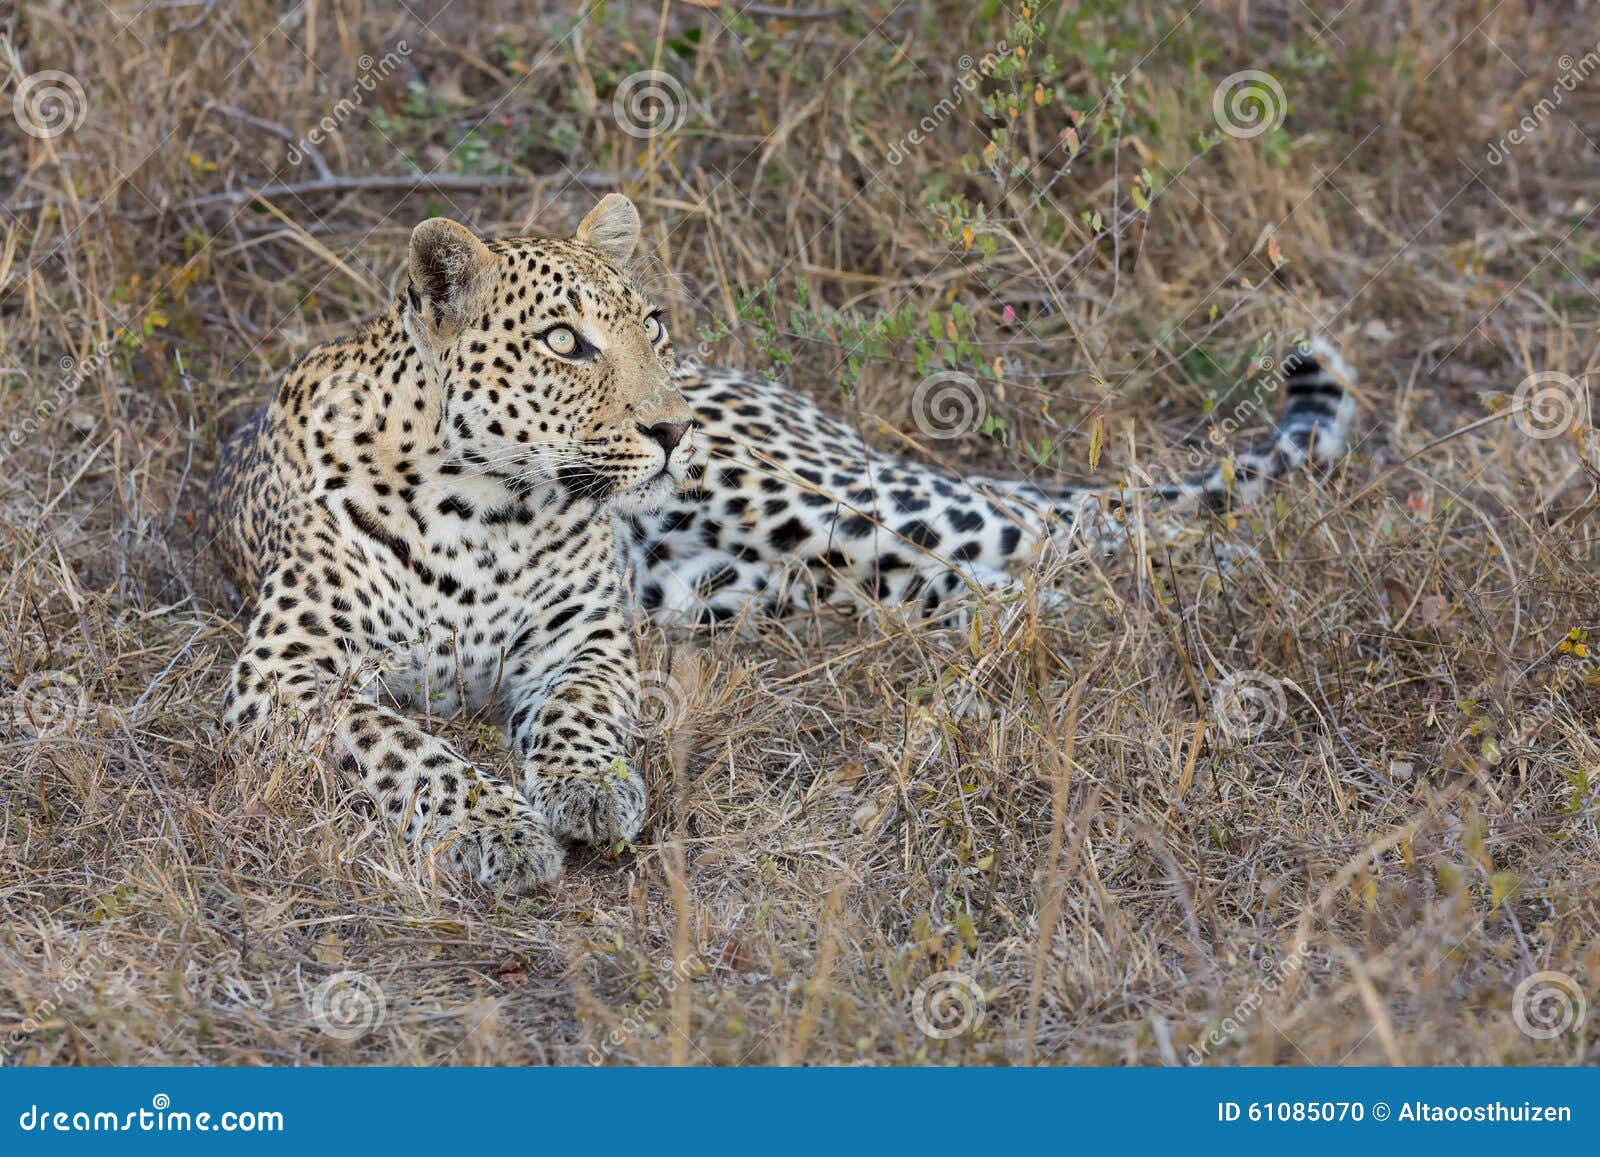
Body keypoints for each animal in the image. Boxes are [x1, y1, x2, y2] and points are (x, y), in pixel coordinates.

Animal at [210, 193, 1356, 897]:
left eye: (650, 326)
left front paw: (587, 786)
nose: (669, 427)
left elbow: (577, 712)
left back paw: (1223, 600)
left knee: (1058, 537)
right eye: (565, 343)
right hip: (789, 582)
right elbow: (407, 746)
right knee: (1016, 576)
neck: (488, 505)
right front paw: (497, 825)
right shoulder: (288, 676)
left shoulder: (586, 643)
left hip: (832, 504)